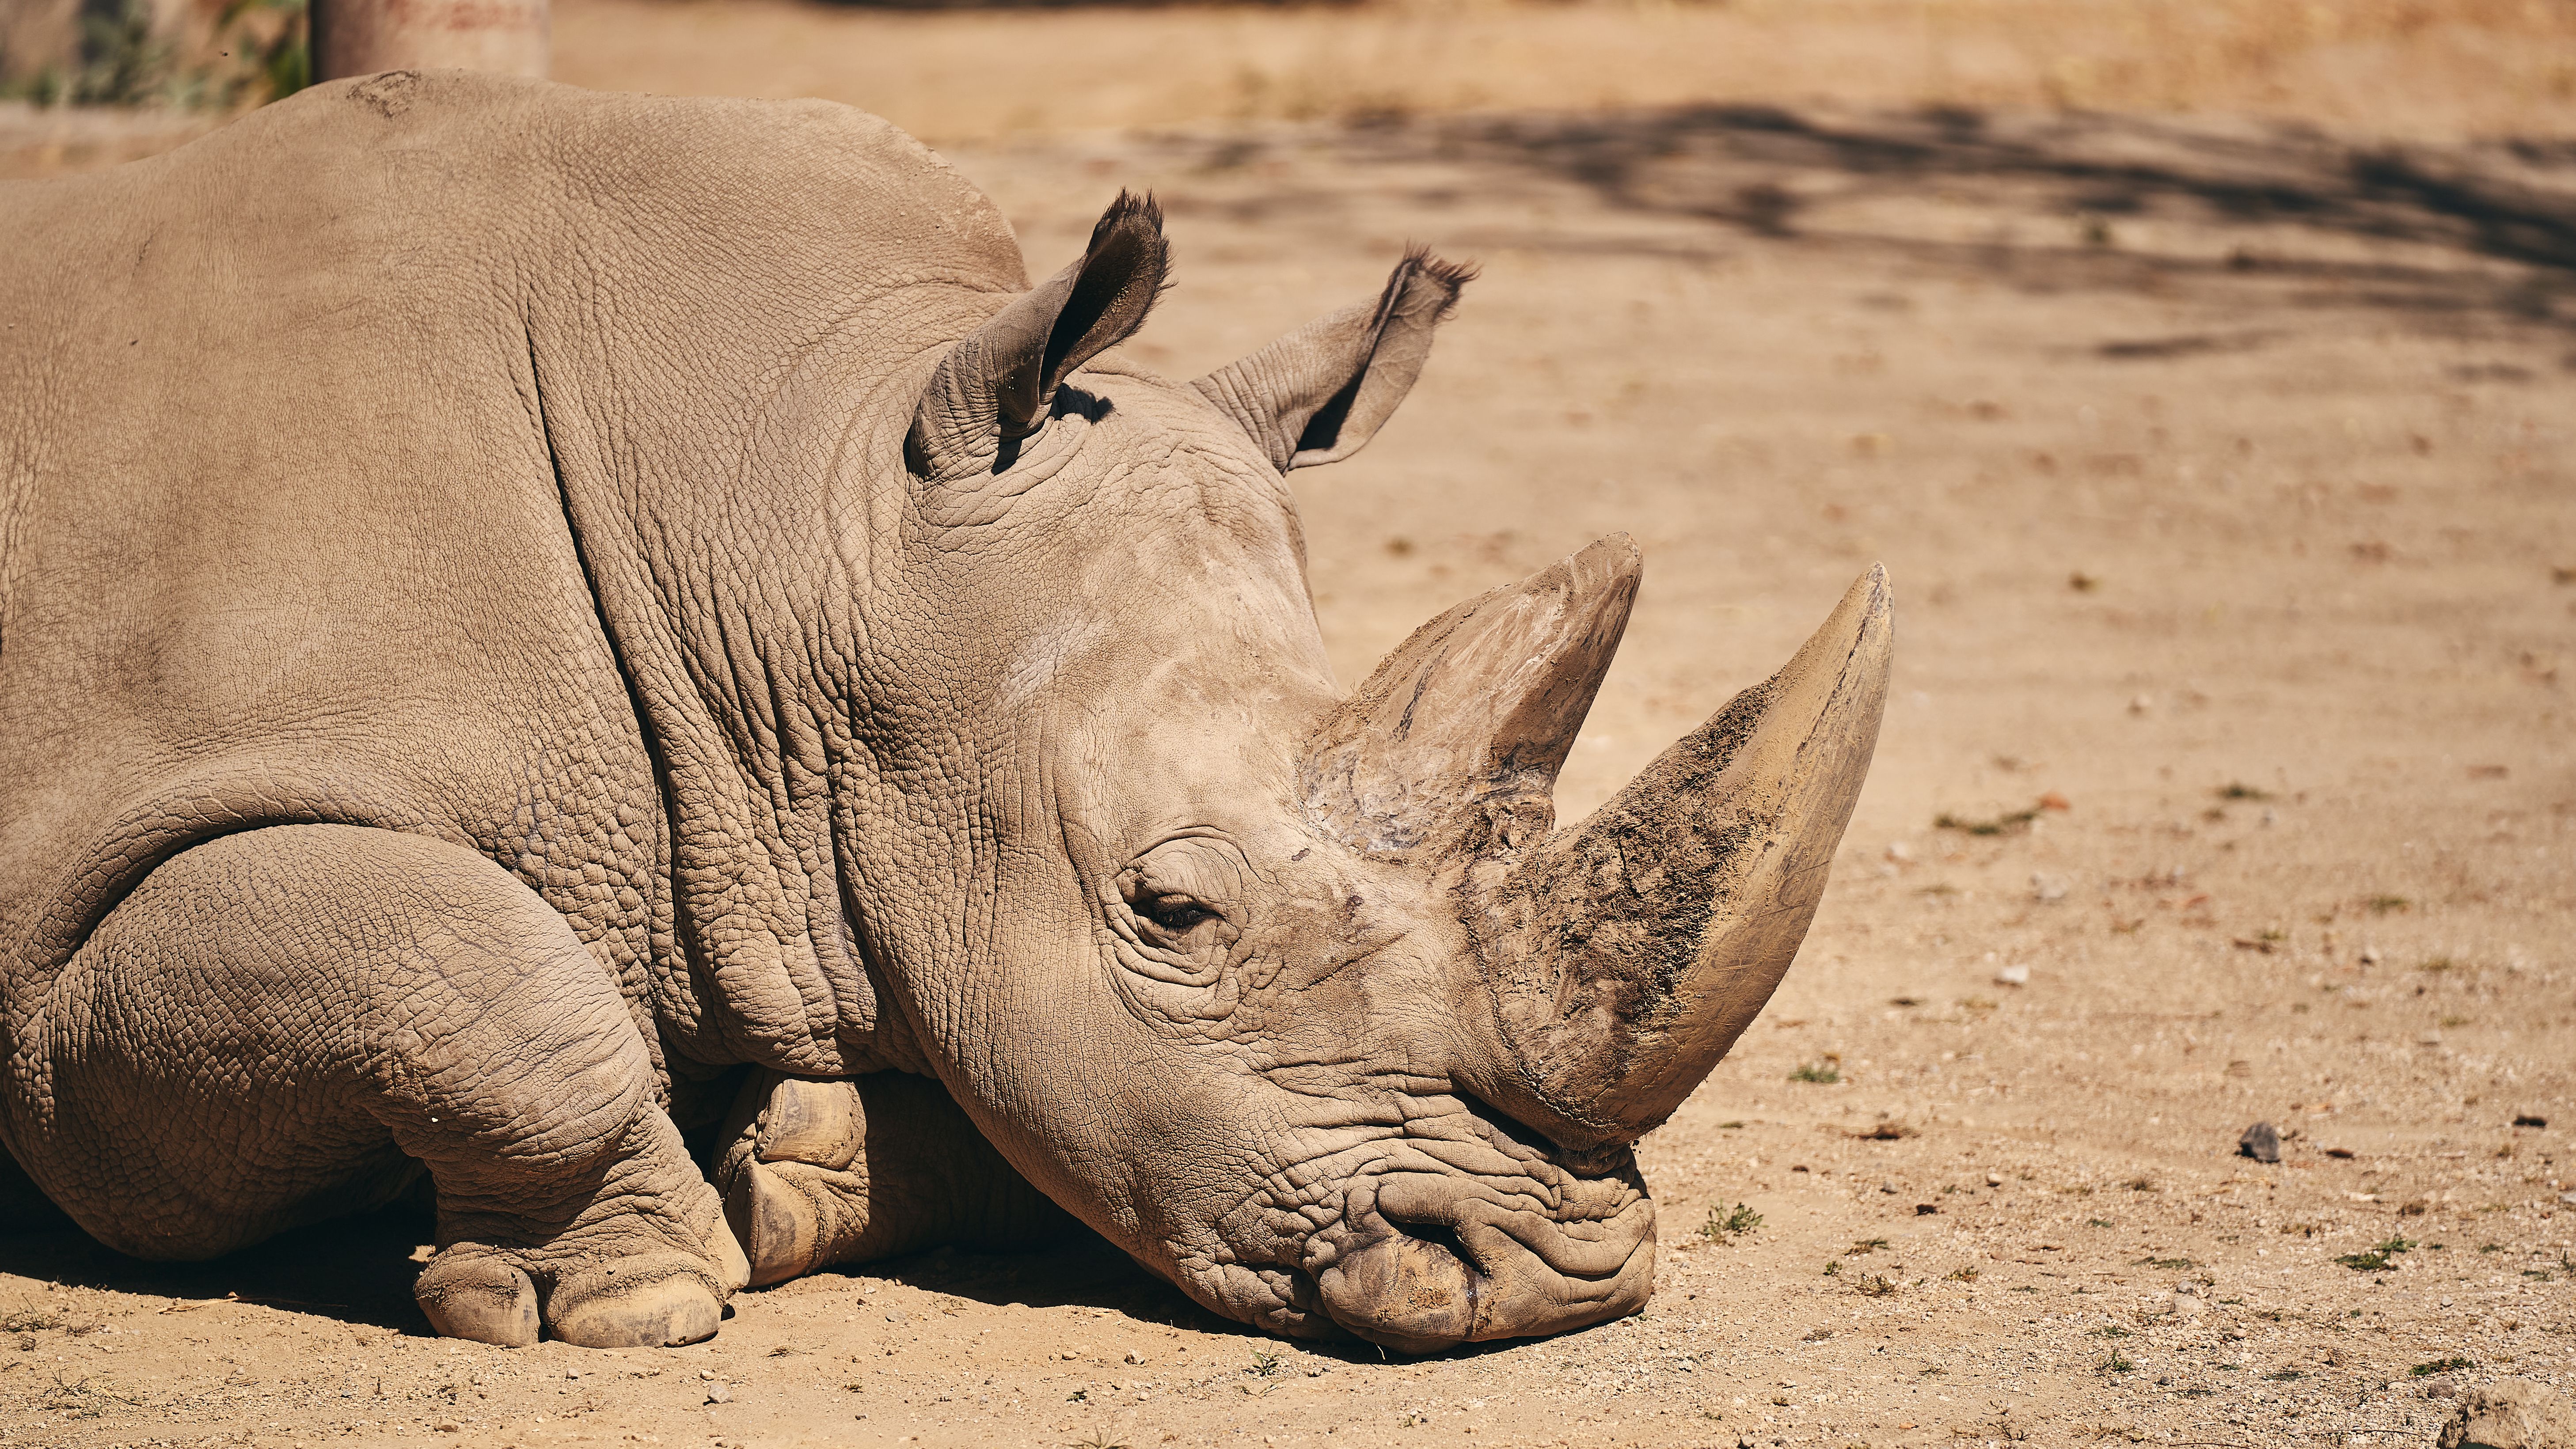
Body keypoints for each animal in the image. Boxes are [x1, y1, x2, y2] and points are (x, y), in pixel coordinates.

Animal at [0, 71, 1890, 1353]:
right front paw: (623, 1303)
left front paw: (791, 1164)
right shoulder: (73, 933)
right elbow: (474, 978)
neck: (793, 514)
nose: (1557, 1279)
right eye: (1170, 910)